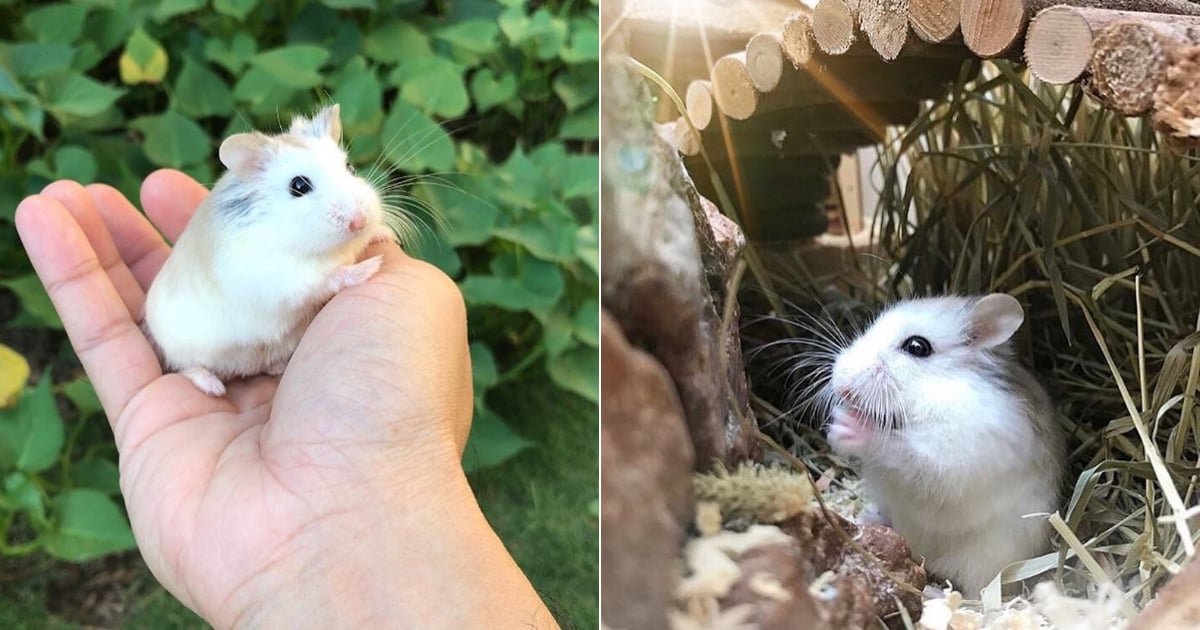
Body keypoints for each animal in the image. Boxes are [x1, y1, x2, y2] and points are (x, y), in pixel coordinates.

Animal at [144, 104, 393, 397]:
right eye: (299, 186)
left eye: (350, 167)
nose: (359, 221)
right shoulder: (282, 279)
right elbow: (325, 279)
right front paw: (370, 267)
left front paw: (385, 234)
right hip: (184, 349)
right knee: (189, 368)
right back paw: (214, 387)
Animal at [823, 293, 1065, 597]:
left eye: (917, 347)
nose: (840, 384)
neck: (934, 388)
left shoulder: (951, 458)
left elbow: (903, 454)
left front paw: (845, 428)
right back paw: (869, 519)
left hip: (988, 559)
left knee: (974, 594)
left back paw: (933, 593)